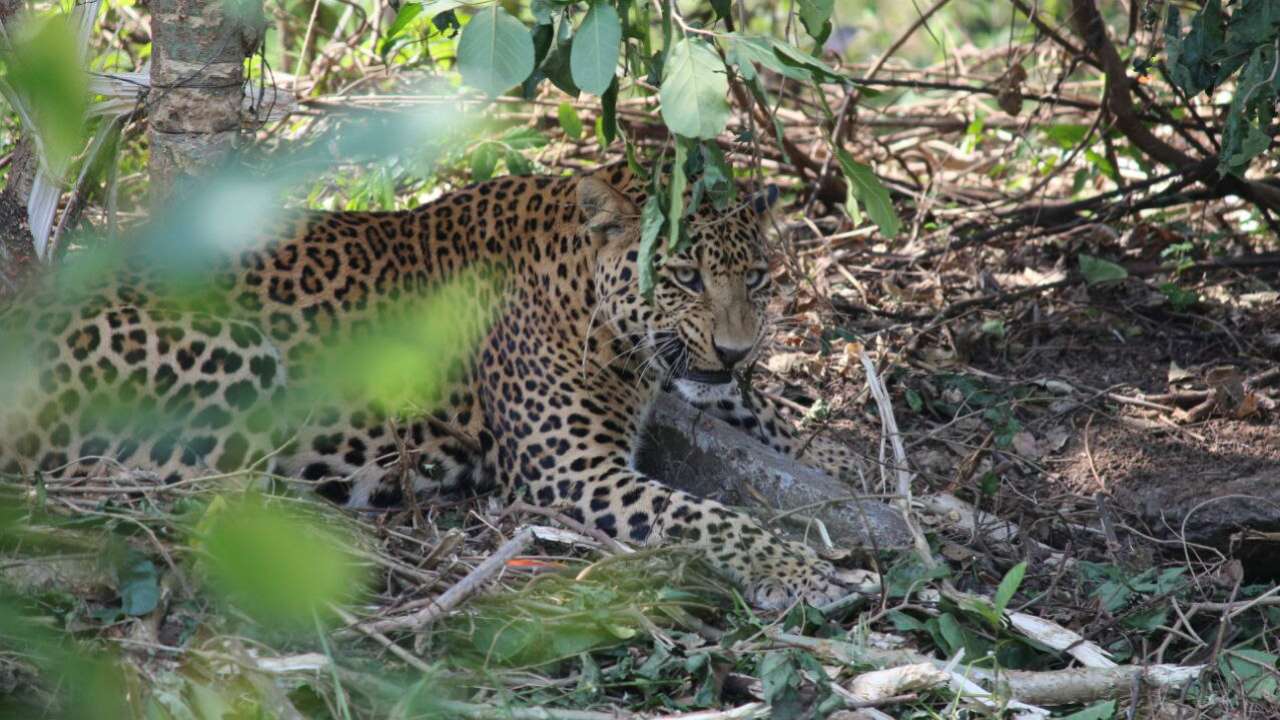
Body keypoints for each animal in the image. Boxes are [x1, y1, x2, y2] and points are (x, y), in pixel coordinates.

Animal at [0, 163, 866, 609]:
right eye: (684, 276)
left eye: (757, 277)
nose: (738, 349)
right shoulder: (567, 471)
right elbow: (709, 515)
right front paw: (801, 571)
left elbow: (769, 428)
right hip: (239, 358)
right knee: (155, 486)